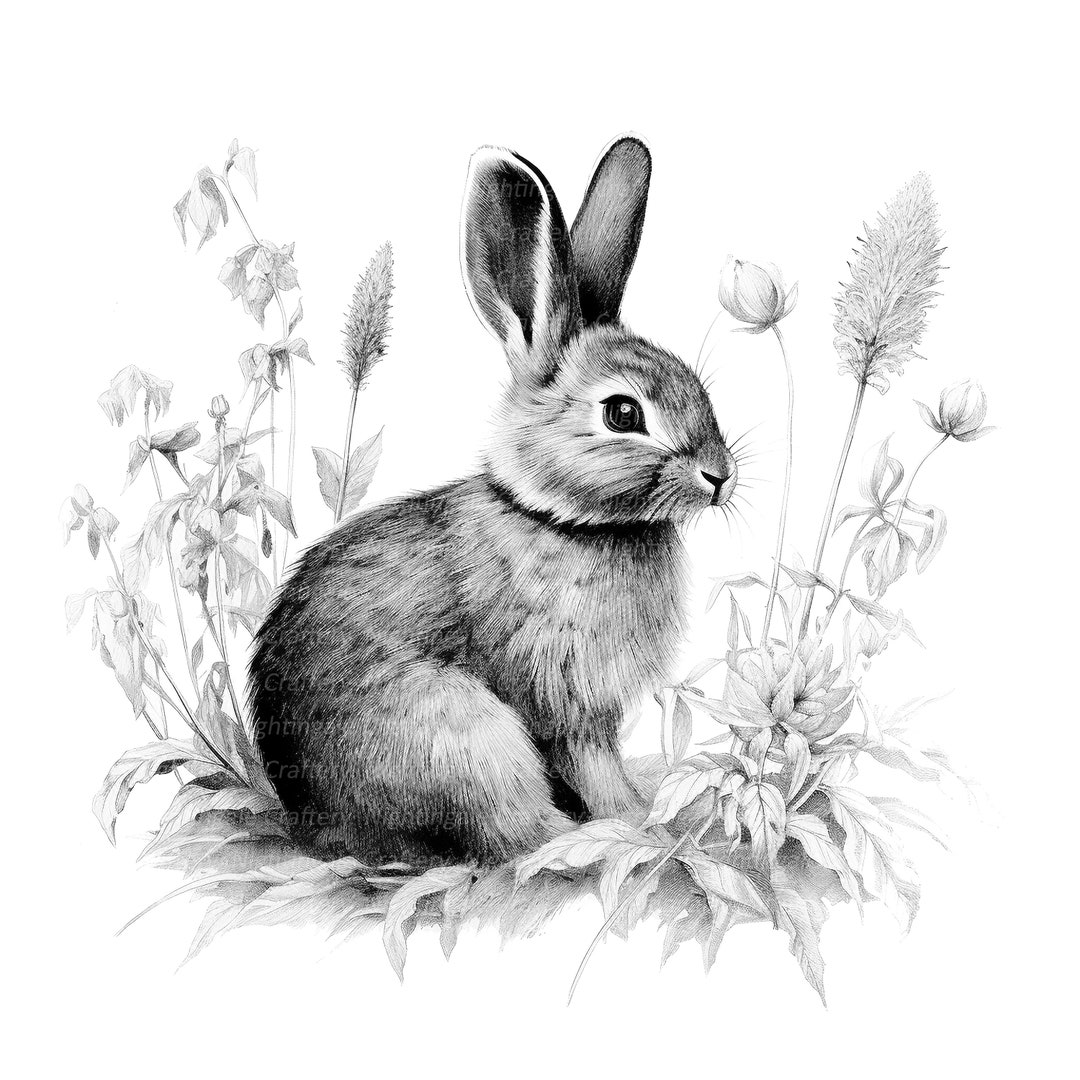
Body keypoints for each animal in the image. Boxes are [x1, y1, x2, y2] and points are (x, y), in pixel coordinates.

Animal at [249, 136, 738, 866]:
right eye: (624, 413)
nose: (720, 475)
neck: (558, 520)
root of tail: (315, 822)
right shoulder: (566, 704)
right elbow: (595, 767)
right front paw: (636, 820)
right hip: (466, 735)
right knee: (515, 836)